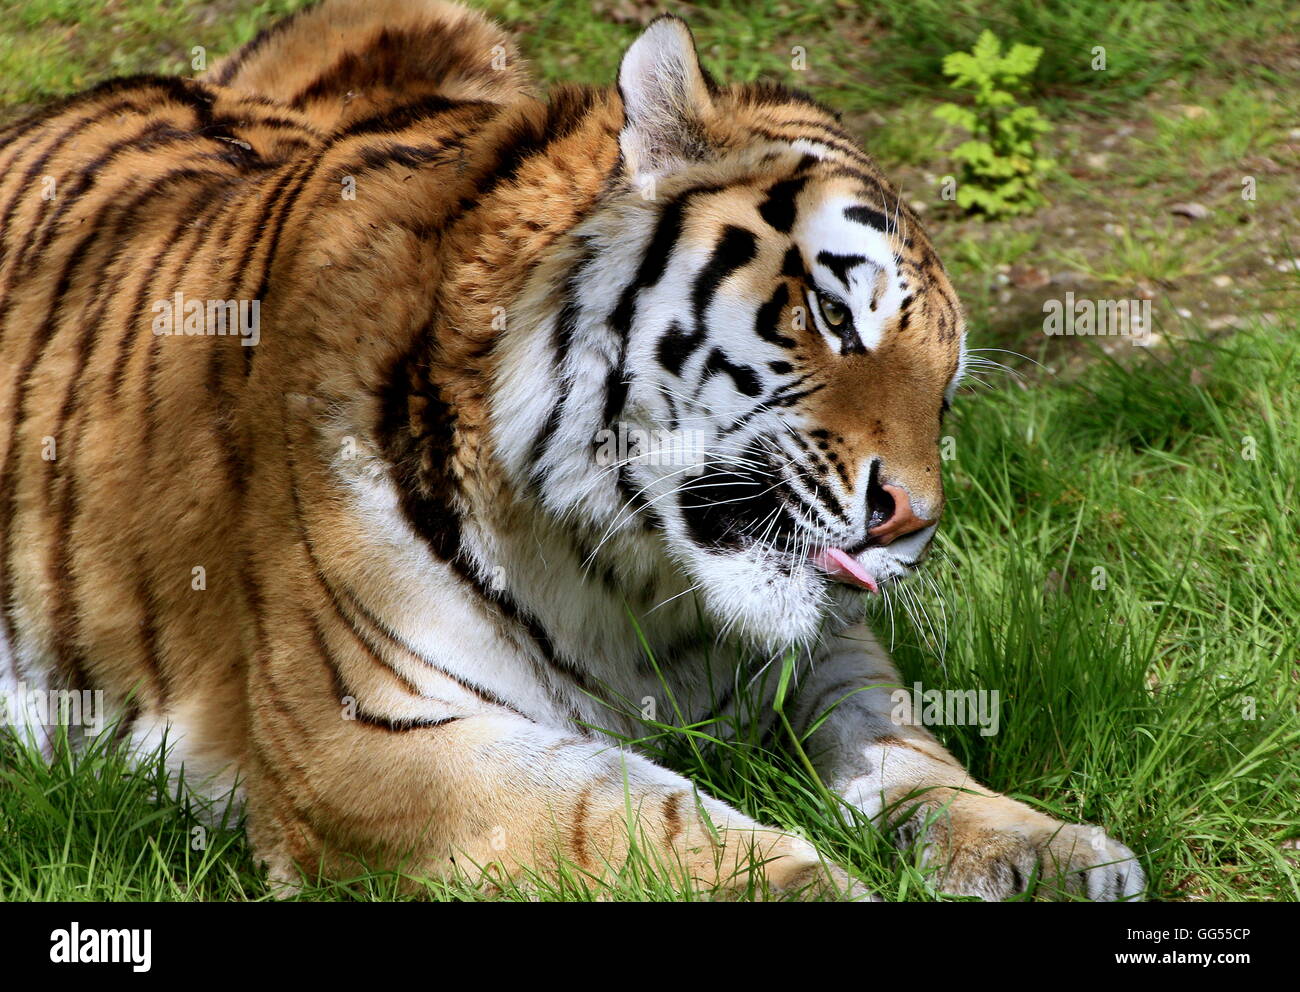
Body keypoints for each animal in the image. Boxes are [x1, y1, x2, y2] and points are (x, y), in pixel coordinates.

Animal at [0, 0, 1143, 900]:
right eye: (831, 313)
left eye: (944, 393)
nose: (914, 523)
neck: (637, 581)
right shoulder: (361, 741)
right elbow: (633, 813)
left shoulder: (820, 652)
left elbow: (906, 746)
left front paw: (1051, 848)